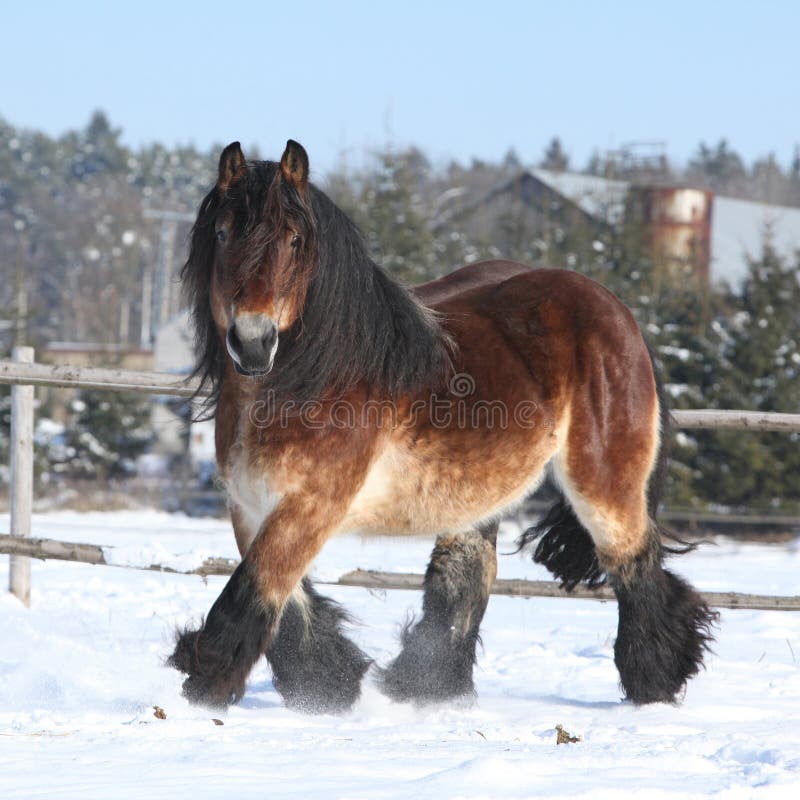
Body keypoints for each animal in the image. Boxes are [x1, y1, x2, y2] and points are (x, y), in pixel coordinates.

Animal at [168, 139, 717, 711]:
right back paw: (428, 689)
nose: (252, 342)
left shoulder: (310, 505)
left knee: (634, 565)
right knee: (467, 571)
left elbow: (252, 592)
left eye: (294, 240)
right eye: (223, 233)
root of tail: (620, 313)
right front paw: (326, 688)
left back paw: (655, 684)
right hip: (481, 490)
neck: (318, 375)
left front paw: (205, 687)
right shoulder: (250, 507)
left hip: (605, 486)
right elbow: (284, 601)